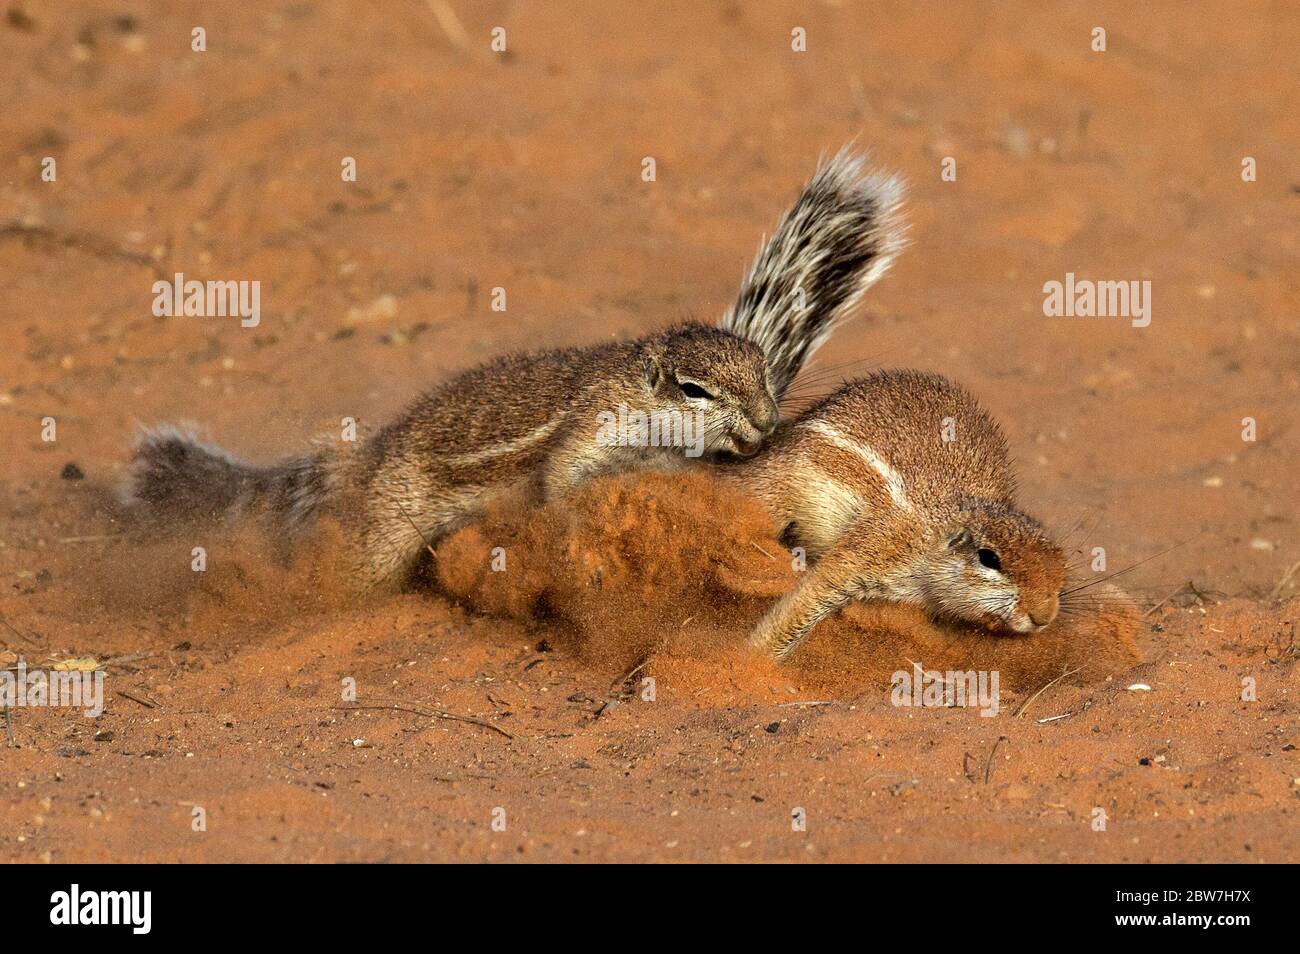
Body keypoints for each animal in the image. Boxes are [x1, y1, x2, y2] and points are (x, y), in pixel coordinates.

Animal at [122, 148, 906, 590]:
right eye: (694, 389)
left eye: (766, 371)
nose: (770, 422)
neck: (636, 391)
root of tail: (372, 453)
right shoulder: (587, 435)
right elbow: (559, 486)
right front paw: (580, 536)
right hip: (388, 525)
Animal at [727, 369, 1065, 659]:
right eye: (989, 558)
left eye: (1061, 569)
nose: (1043, 617)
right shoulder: (878, 545)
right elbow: (807, 601)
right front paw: (752, 661)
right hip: (775, 488)